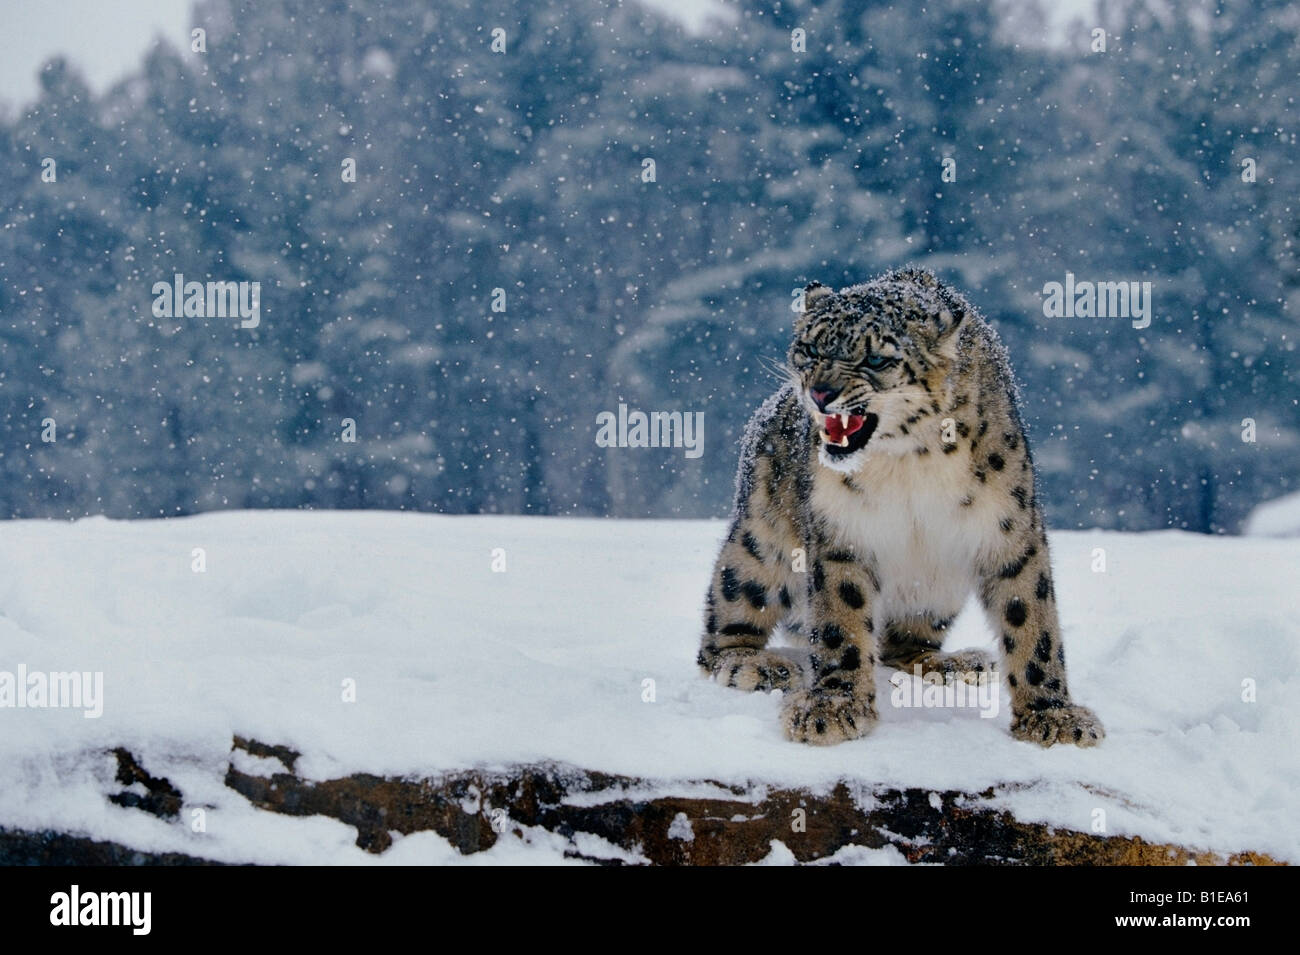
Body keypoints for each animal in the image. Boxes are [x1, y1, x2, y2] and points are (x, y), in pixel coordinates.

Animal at [697, 267, 1104, 747]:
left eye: (876, 360)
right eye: (811, 348)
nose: (820, 393)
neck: (911, 460)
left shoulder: (1008, 529)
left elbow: (1031, 621)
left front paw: (1053, 715)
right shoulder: (842, 533)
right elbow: (840, 621)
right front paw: (833, 707)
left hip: (937, 587)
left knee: (902, 645)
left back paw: (956, 665)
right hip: (756, 550)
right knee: (721, 630)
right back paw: (755, 663)